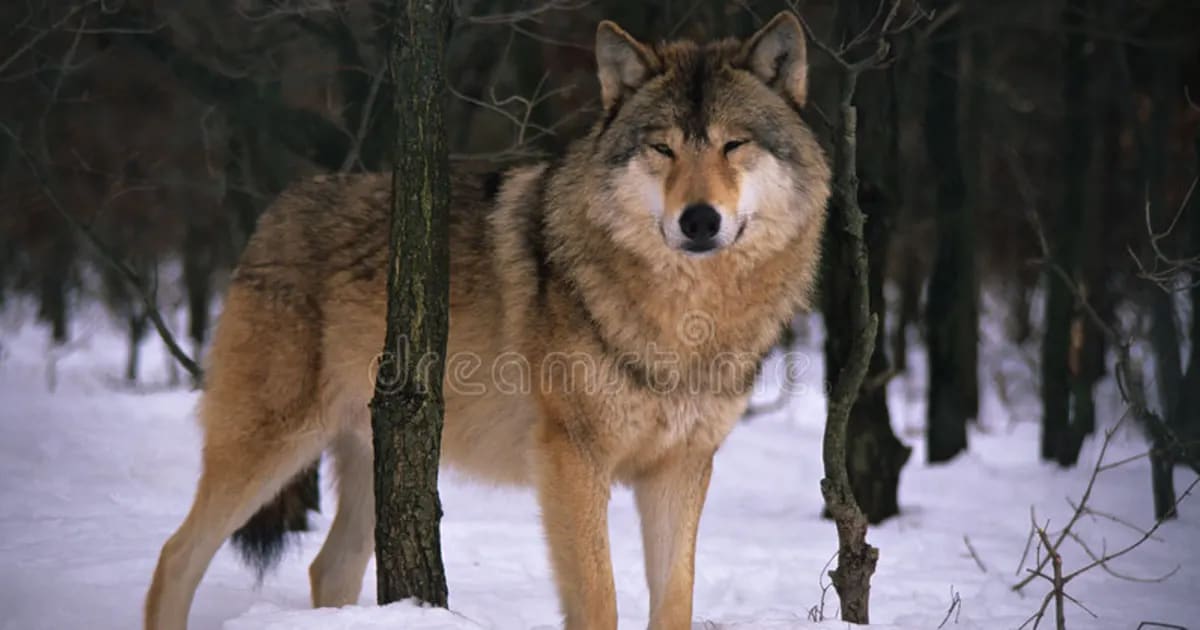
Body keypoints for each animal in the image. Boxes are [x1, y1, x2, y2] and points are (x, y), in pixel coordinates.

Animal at [145, 11, 829, 630]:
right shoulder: (573, 460)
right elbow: (599, 601)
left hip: (379, 454)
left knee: (326, 567)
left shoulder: (680, 469)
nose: (699, 220)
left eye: (734, 144)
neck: (688, 320)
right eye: (662, 149)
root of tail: (278, 206)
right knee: (175, 555)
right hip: (271, 446)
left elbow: (674, 601)